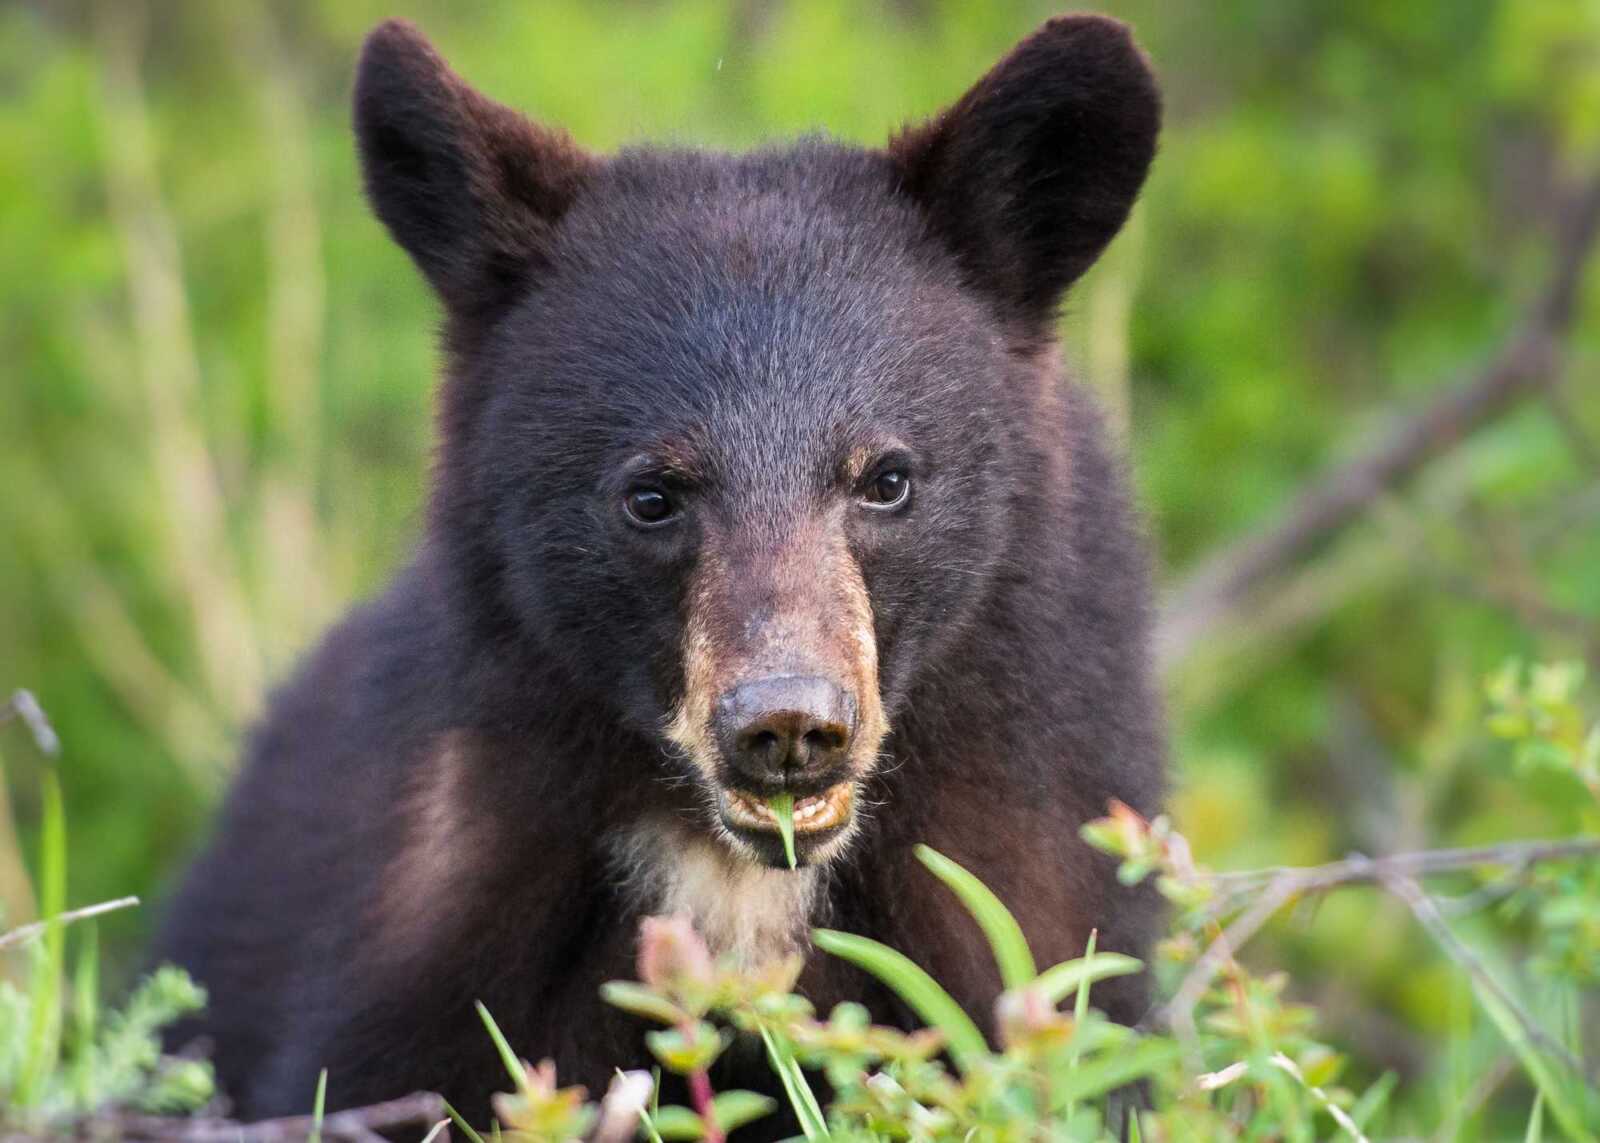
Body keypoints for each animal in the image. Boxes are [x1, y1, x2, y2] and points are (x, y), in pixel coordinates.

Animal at [154, 12, 1167, 1126]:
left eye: (887, 478)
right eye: (651, 494)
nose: (787, 722)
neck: (735, 885)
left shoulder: (1019, 879)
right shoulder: (440, 898)